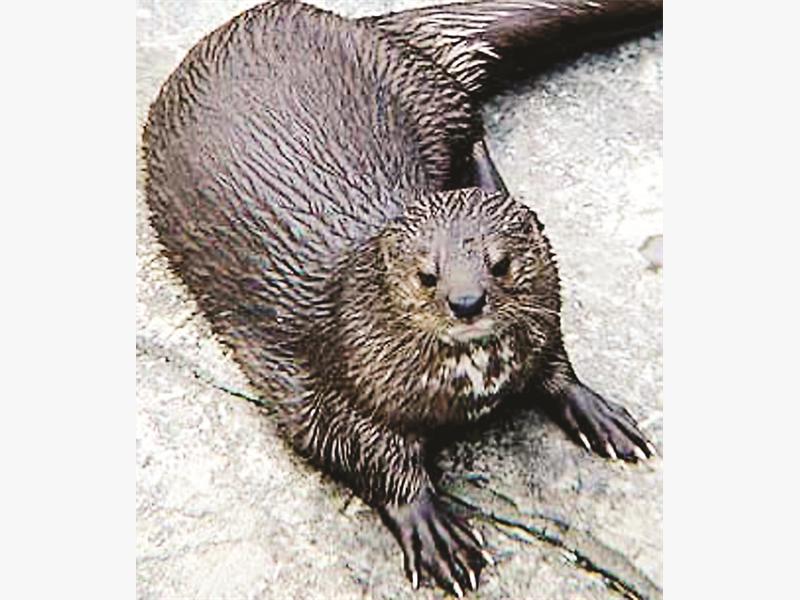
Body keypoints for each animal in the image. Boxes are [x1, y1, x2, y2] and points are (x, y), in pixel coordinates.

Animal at [143, 0, 662, 595]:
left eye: (500, 264)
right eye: (427, 275)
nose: (467, 302)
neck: (475, 383)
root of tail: (363, 23)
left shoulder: (541, 323)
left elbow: (555, 362)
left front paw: (597, 411)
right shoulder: (334, 384)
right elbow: (364, 453)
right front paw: (432, 527)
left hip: (422, 93)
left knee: (469, 127)